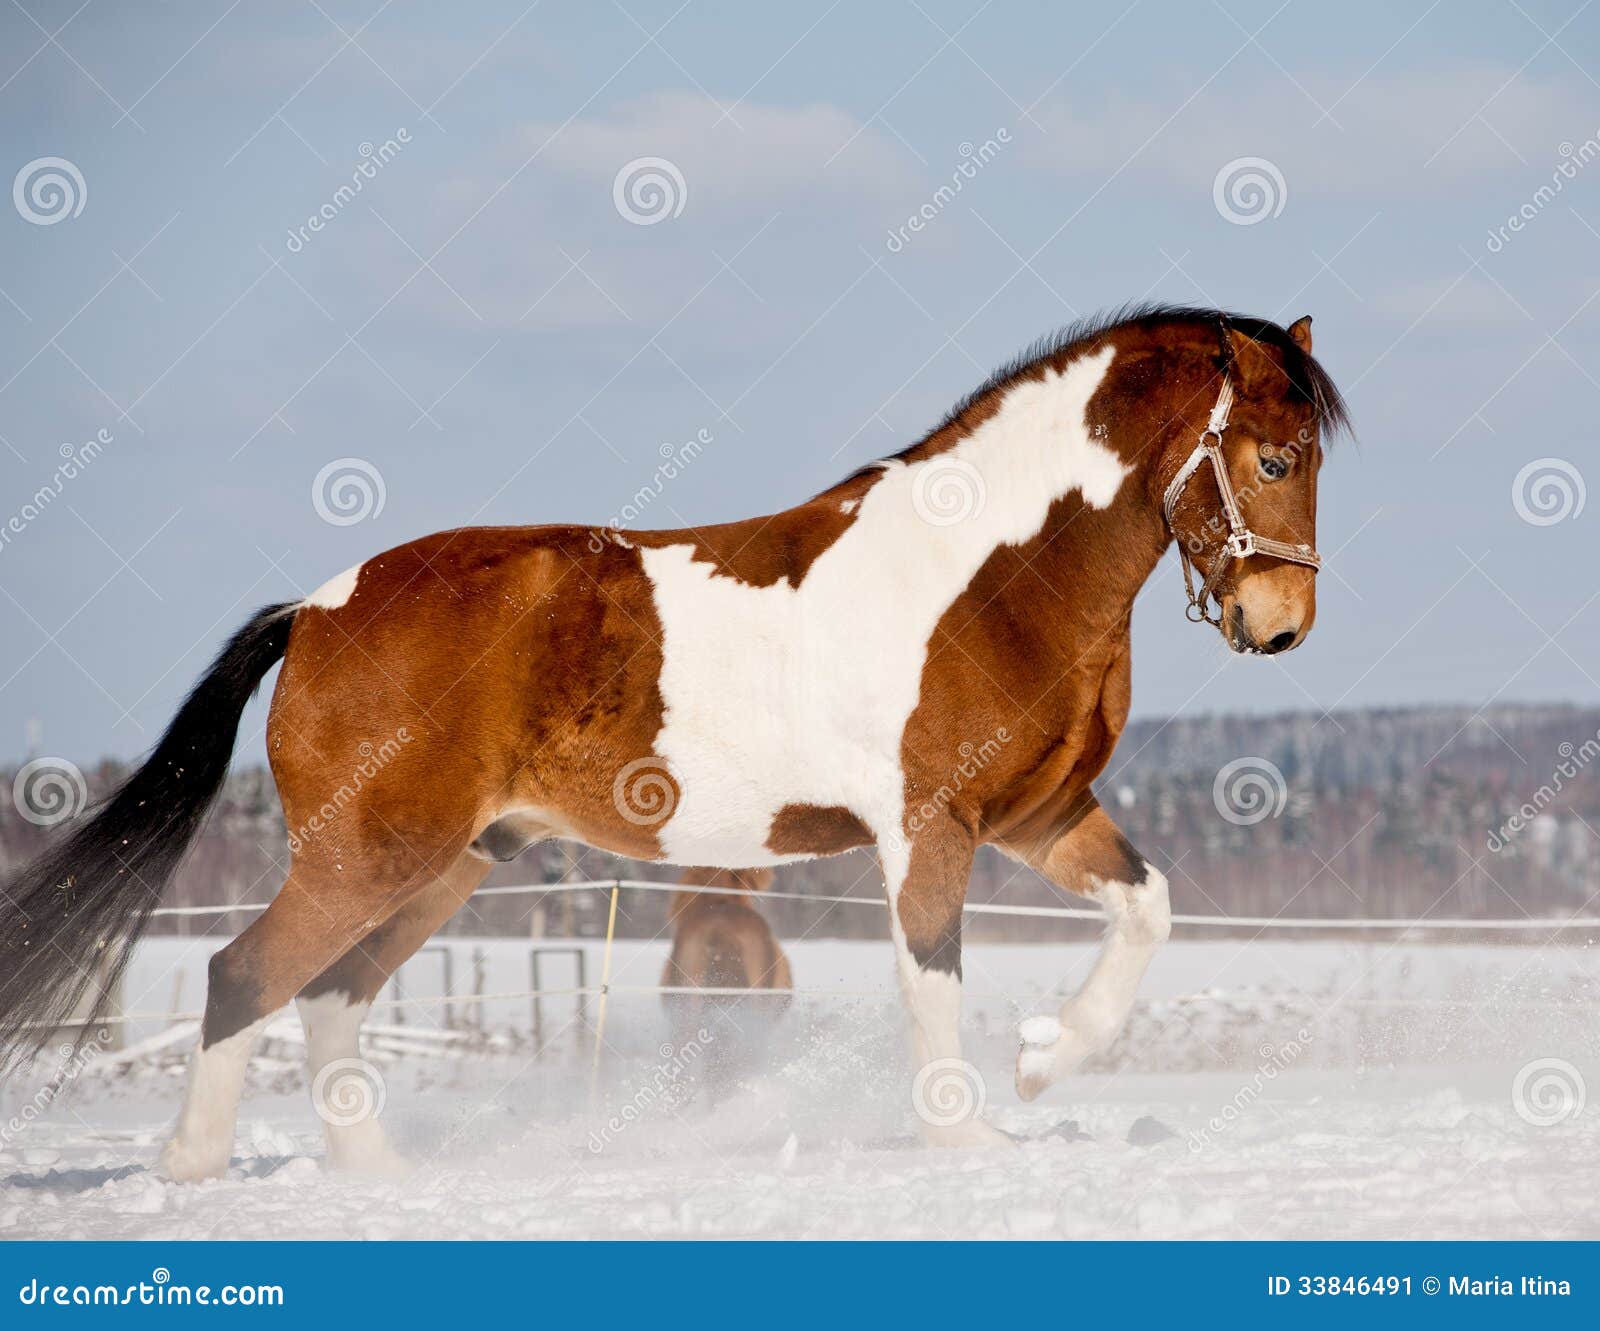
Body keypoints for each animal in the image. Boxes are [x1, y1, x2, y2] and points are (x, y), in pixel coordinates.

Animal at [0, 303, 1347, 1177]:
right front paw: (962, 1133)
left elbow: (1147, 908)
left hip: (441, 865)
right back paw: (190, 1169)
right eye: (1273, 453)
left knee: (328, 993)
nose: (1280, 625)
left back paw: (375, 1175)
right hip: (363, 855)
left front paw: (1038, 1064)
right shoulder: (929, 827)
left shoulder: (1038, 815)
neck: (987, 578)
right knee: (245, 976)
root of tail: (318, 608)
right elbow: (930, 976)